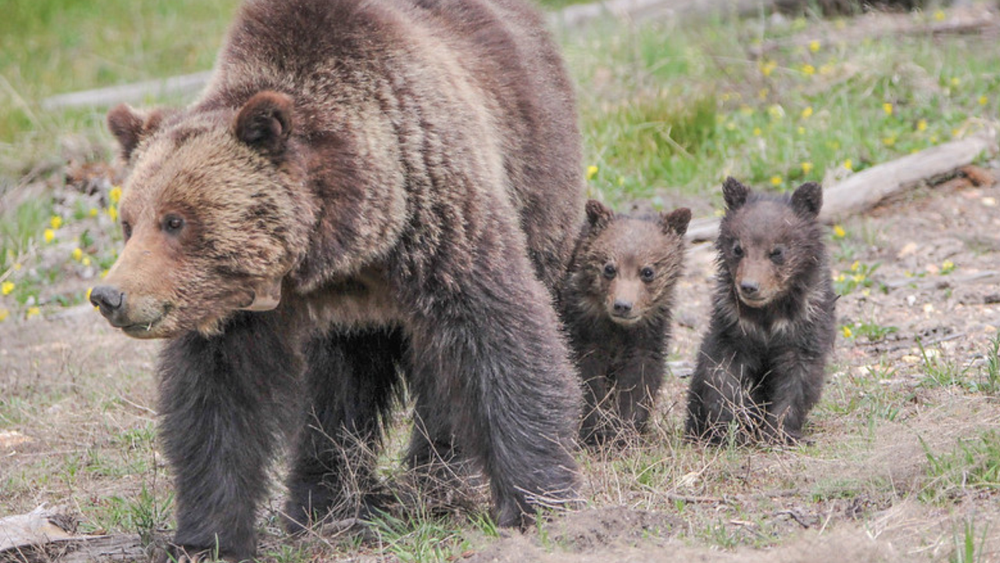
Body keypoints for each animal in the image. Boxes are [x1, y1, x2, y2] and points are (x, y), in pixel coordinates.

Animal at [89, 0, 585, 559]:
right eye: (128, 221)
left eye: (175, 220)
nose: (110, 296)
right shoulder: (234, 309)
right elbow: (217, 400)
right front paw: (207, 536)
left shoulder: (437, 214)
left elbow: (497, 335)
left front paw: (538, 499)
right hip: (351, 323)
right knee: (338, 385)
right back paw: (324, 501)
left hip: (535, 171)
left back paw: (436, 477)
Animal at [560, 200, 691, 446]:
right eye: (609, 268)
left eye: (647, 271)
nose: (622, 305)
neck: (617, 329)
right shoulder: (584, 329)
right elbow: (587, 378)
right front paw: (596, 430)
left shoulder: (649, 333)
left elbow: (639, 381)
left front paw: (625, 429)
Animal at [685, 177, 836, 446]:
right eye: (738, 248)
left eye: (777, 251)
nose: (749, 286)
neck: (768, 314)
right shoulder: (733, 325)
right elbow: (721, 375)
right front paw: (730, 427)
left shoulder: (804, 325)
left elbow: (798, 379)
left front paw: (779, 431)